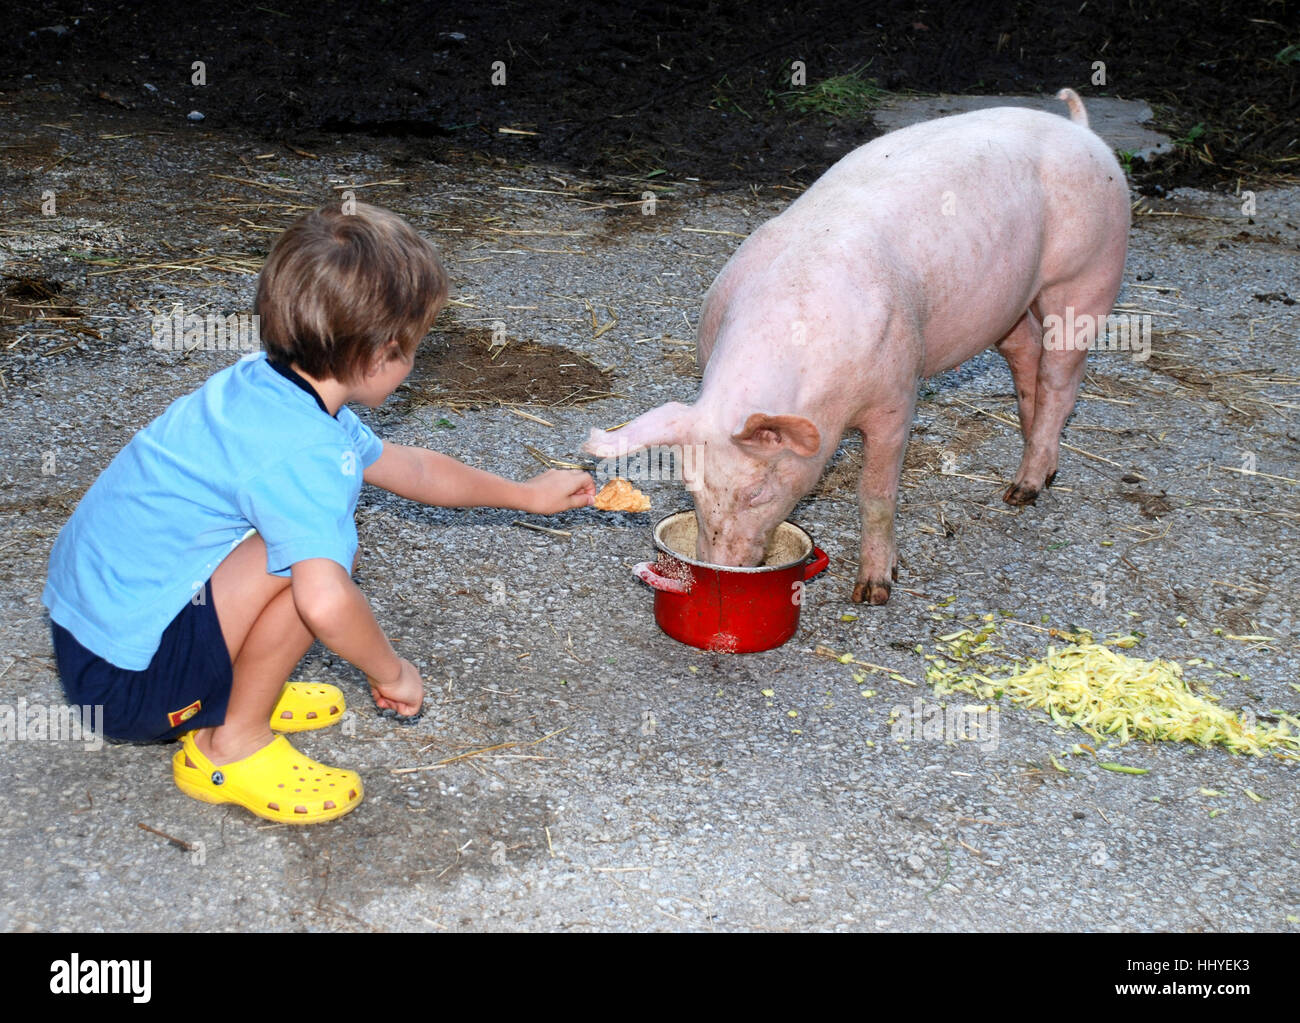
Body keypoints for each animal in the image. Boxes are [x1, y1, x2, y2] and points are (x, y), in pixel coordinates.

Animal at [585, 89, 1129, 604]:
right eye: (691, 487)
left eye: (757, 490)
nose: (722, 567)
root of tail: (1081, 130)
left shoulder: (897, 395)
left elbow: (876, 494)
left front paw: (874, 591)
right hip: (1010, 303)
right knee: (1026, 353)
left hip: (1090, 274)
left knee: (1061, 375)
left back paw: (1022, 491)